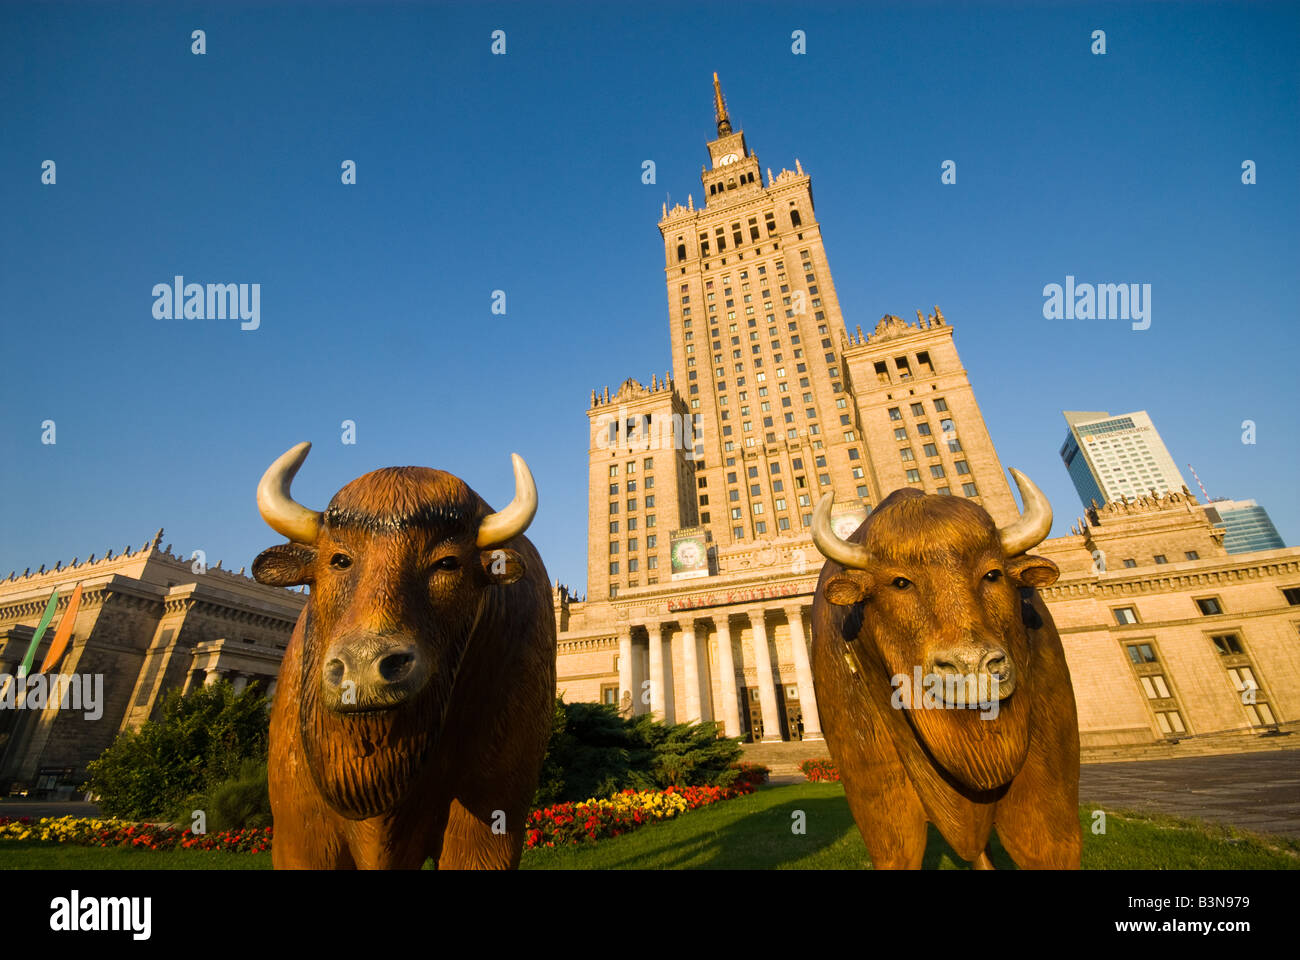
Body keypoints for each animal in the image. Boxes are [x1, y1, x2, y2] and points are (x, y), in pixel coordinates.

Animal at [809, 470, 1081, 869]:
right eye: (900, 582)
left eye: (993, 574)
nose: (972, 666)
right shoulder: (873, 784)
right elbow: (896, 848)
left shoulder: (1050, 770)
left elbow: (1046, 843)